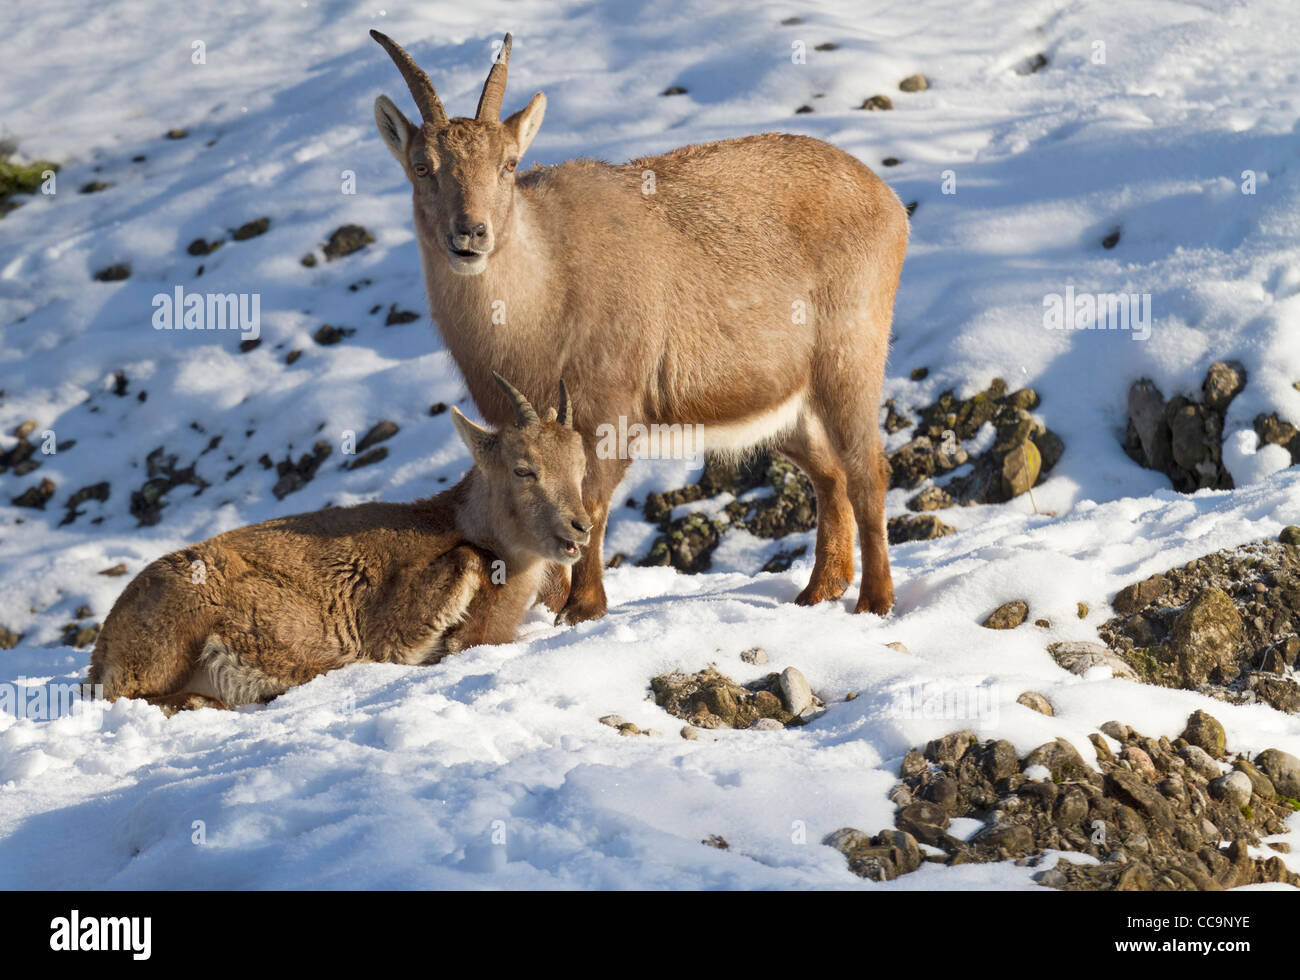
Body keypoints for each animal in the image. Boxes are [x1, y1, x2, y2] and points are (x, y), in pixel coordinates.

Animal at [85, 375, 591, 715]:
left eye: (581, 466)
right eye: (523, 469)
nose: (580, 528)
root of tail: (106, 645)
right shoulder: (396, 630)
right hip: (176, 629)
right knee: (133, 694)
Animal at [371, 31, 908, 623]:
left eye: (509, 164)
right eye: (422, 166)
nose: (470, 233)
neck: (546, 287)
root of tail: (888, 200)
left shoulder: (610, 405)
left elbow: (592, 503)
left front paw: (583, 609)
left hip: (851, 355)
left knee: (866, 470)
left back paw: (874, 600)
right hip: (791, 403)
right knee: (829, 474)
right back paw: (819, 590)